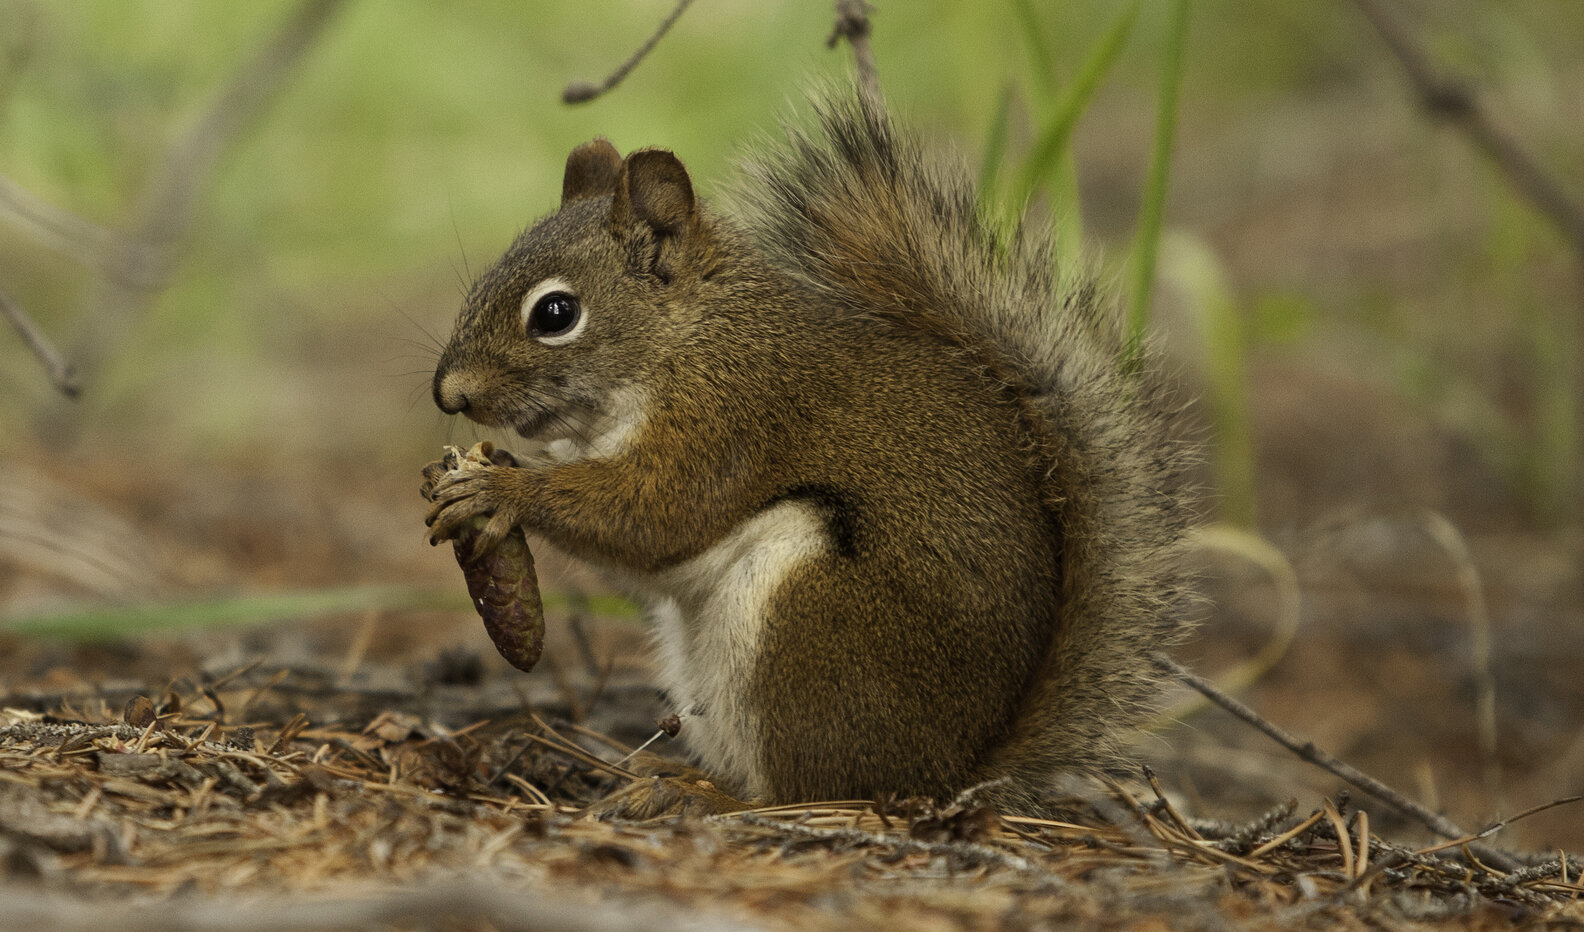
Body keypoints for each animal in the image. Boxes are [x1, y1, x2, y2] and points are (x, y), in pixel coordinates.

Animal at [423, 91, 1195, 817]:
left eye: (556, 314)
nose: (448, 393)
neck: (690, 338)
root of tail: (948, 775)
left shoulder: (729, 420)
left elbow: (654, 516)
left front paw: (501, 490)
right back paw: (674, 776)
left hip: (809, 621)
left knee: (808, 790)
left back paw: (707, 801)